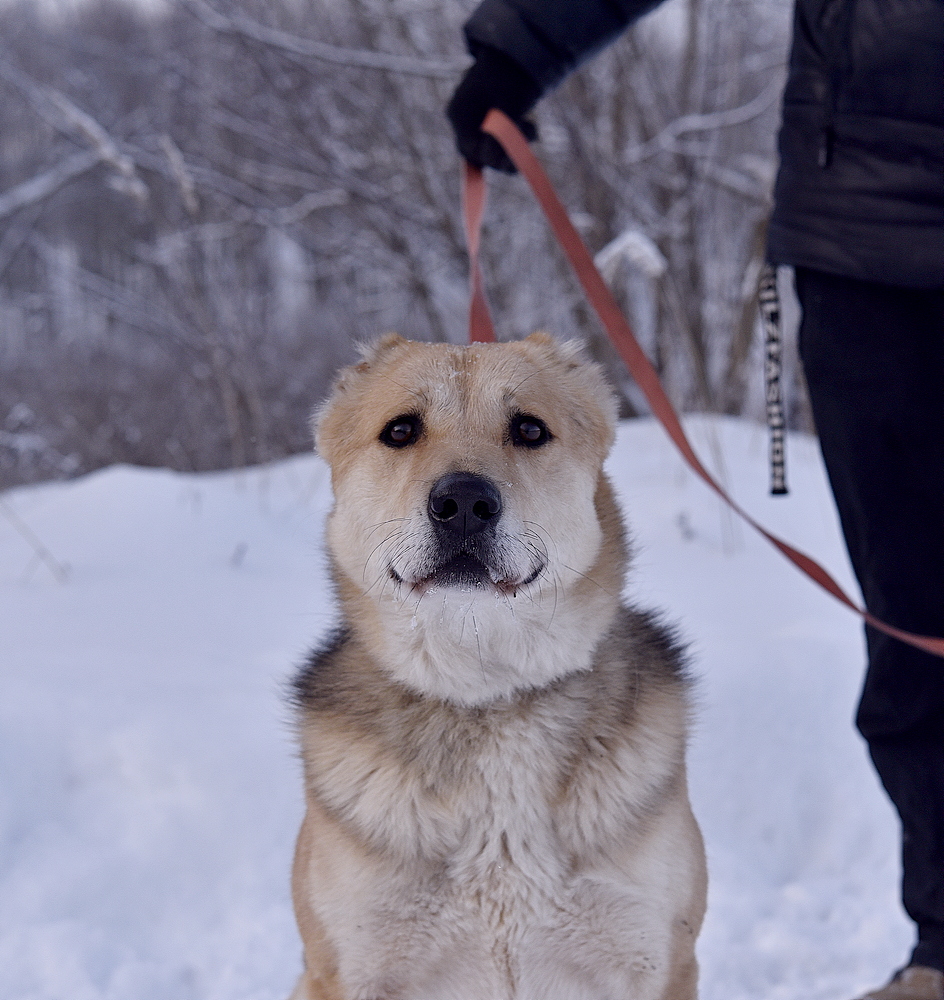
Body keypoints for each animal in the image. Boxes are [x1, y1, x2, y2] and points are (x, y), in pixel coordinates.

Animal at [292, 332, 704, 996]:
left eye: (530, 429)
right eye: (401, 430)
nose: (463, 501)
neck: (490, 698)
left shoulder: (657, 959)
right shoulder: (348, 969)